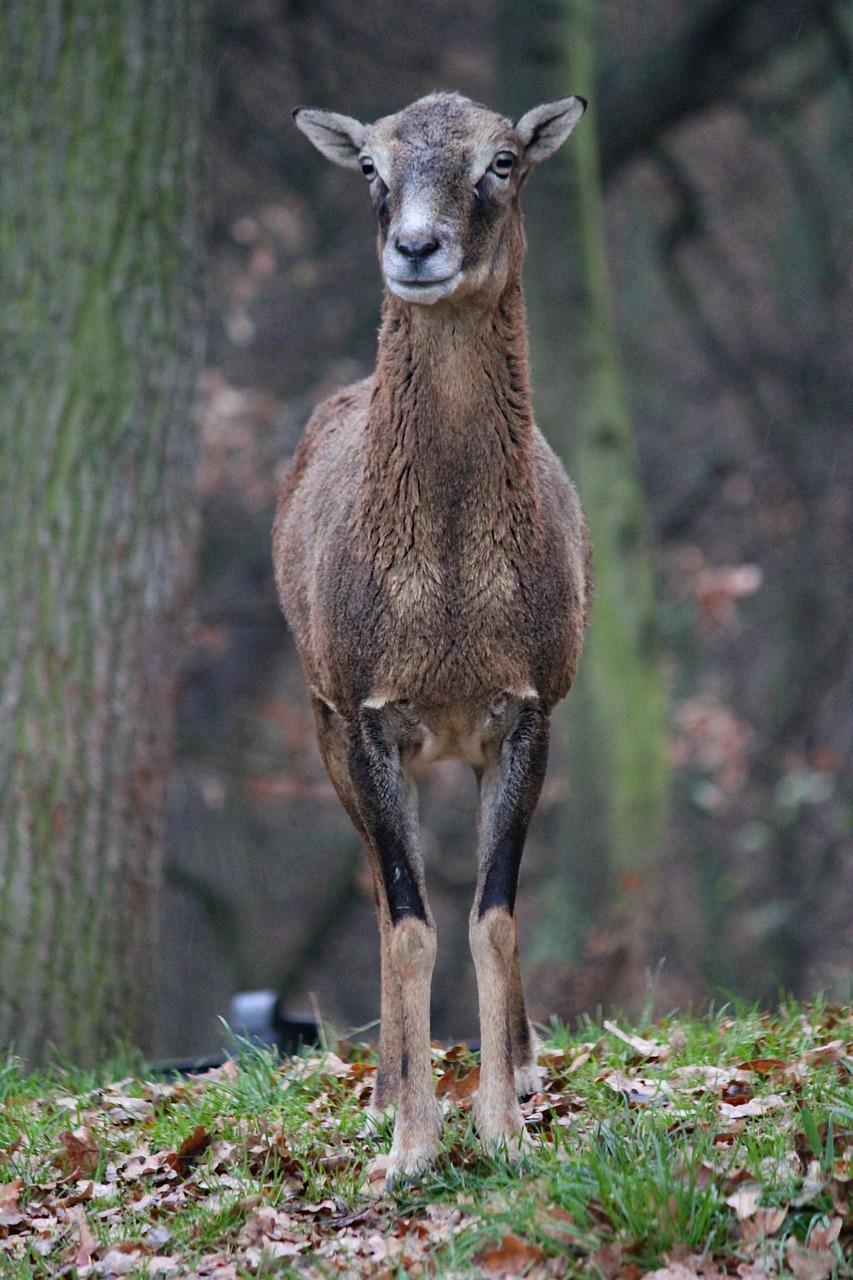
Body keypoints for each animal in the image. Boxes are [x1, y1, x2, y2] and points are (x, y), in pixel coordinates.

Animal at [273, 92, 592, 1183]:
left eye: (502, 160)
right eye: (369, 167)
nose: (416, 247)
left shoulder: (527, 709)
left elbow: (491, 914)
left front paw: (504, 1130)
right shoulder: (368, 712)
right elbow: (409, 919)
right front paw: (410, 1147)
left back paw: (527, 1070)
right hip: (327, 726)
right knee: (377, 890)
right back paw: (379, 1094)